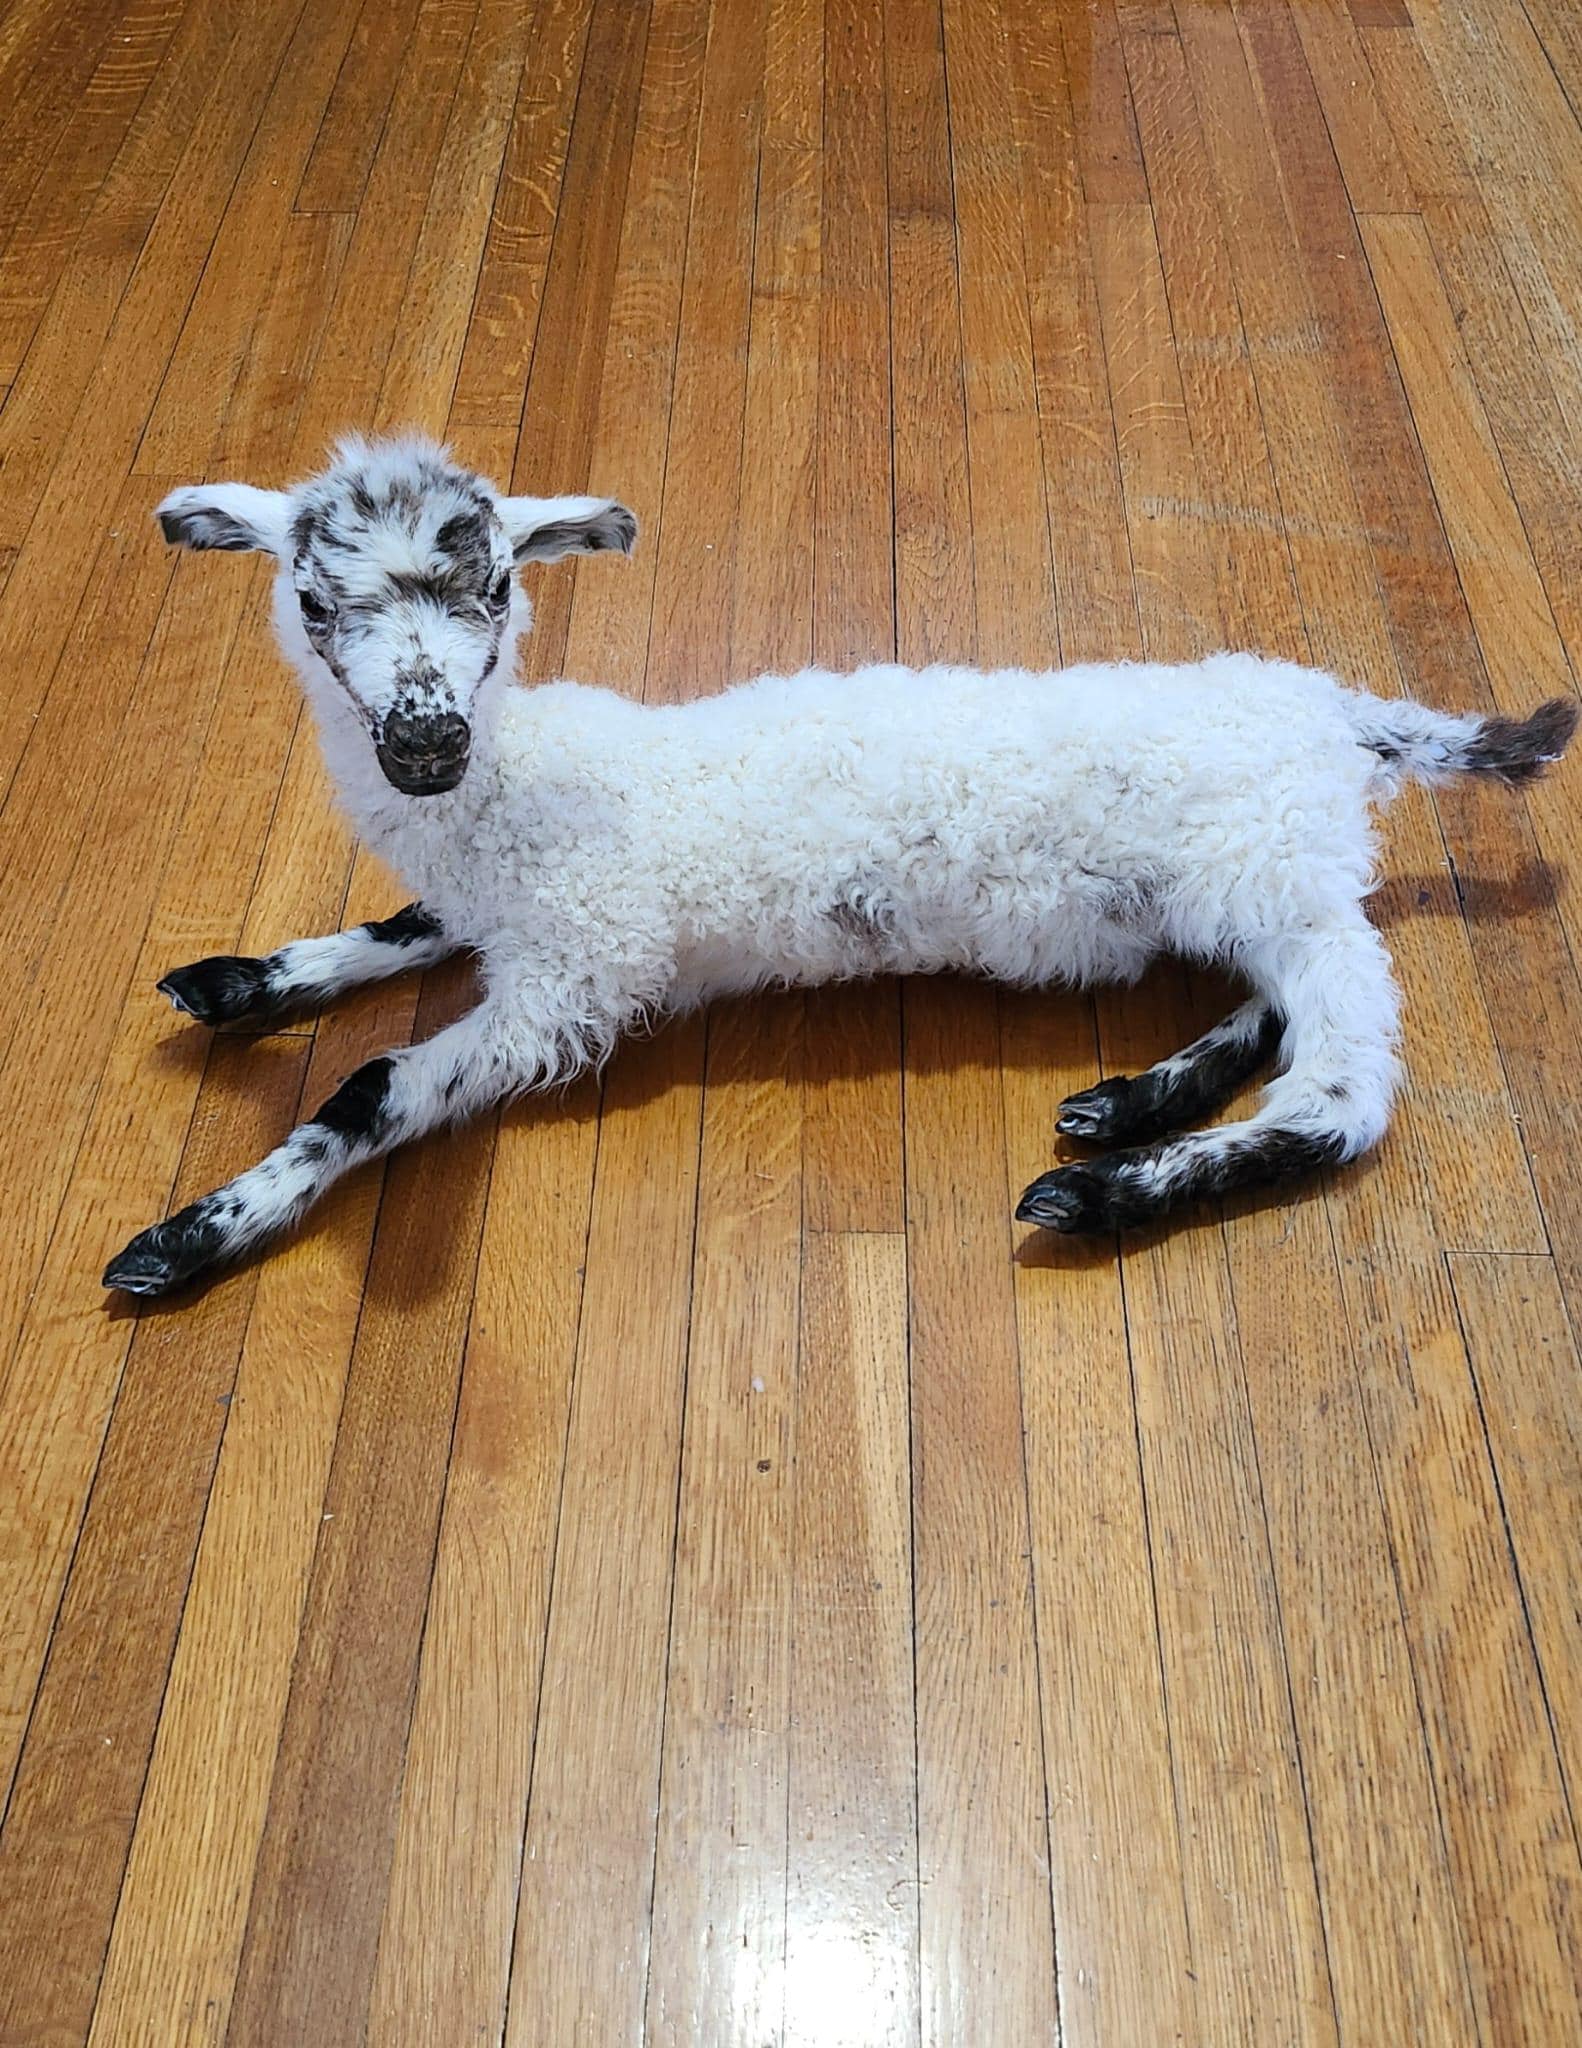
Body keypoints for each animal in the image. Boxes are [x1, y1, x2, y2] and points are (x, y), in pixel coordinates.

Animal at [102, 433, 1577, 1297]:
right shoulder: (507, 913)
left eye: (498, 589)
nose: (425, 738)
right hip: (1249, 888)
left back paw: (1106, 1188)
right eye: (312, 599)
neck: (515, 799)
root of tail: (1343, 714)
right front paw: (240, 980)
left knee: (1343, 1081)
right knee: (1267, 1006)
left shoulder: (577, 976)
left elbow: (370, 1085)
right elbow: (399, 927)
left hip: (1273, 875)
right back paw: (1129, 1099)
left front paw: (190, 1236)